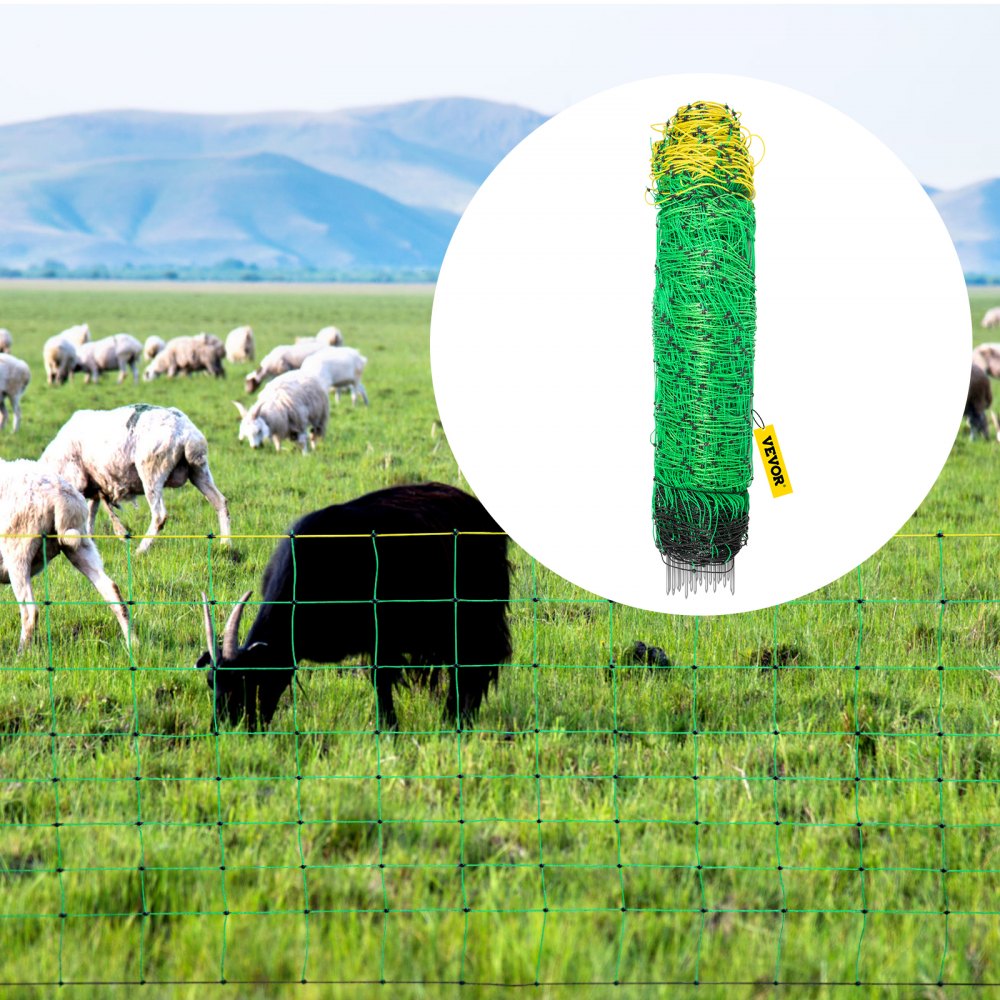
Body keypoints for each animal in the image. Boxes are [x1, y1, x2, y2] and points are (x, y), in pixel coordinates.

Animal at [0, 459, 131, 650]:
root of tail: (60, 495)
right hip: (80, 543)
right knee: (112, 590)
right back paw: (133, 644)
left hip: (18, 548)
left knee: (30, 612)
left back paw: (22, 653)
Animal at [40, 404, 231, 555]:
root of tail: (186, 432)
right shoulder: (95, 487)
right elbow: (90, 515)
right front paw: (90, 542)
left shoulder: (76, 482)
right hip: (199, 470)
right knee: (220, 502)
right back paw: (226, 545)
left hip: (151, 471)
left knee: (159, 516)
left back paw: (141, 550)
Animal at [197, 482, 511, 731]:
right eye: (212, 682)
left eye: (244, 680)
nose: (221, 728)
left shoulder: (383, 634)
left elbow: (380, 680)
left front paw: (390, 730)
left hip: (477, 613)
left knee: (476, 663)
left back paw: (458, 720)